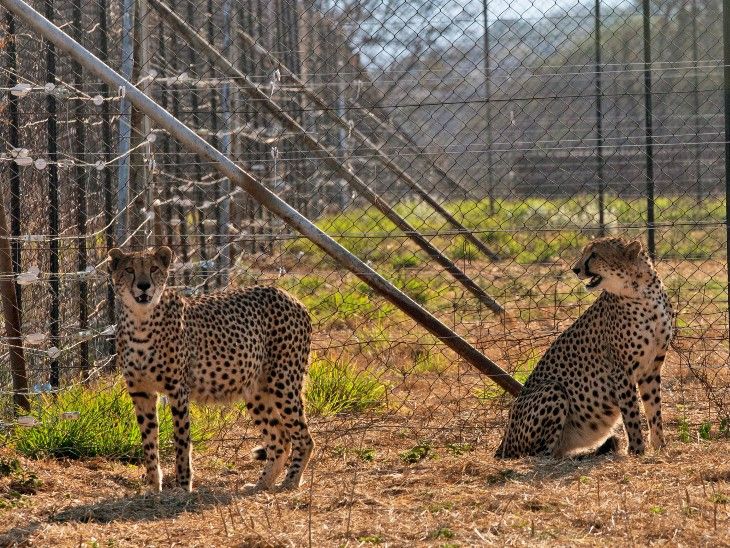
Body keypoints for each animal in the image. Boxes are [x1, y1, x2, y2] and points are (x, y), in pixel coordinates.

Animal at [108, 246, 314, 493]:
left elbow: (181, 441)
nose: (144, 285)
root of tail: (288, 295)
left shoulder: (177, 390)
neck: (141, 321)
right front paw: (153, 488)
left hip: (283, 382)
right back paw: (260, 485)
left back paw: (290, 482)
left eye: (154, 268)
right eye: (129, 269)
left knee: (303, 437)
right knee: (280, 439)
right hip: (256, 390)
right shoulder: (141, 391)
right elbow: (148, 441)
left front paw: (183, 487)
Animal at [495, 237, 674, 459]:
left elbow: (654, 408)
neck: (643, 292)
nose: (575, 269)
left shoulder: (652, 367)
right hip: (553, 389)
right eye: (584, 253)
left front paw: (660, 447)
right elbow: (631, 413)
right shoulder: (622, 369)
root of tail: (503, 442)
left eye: (594, 254)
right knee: (540, 453)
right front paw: (636, 450)